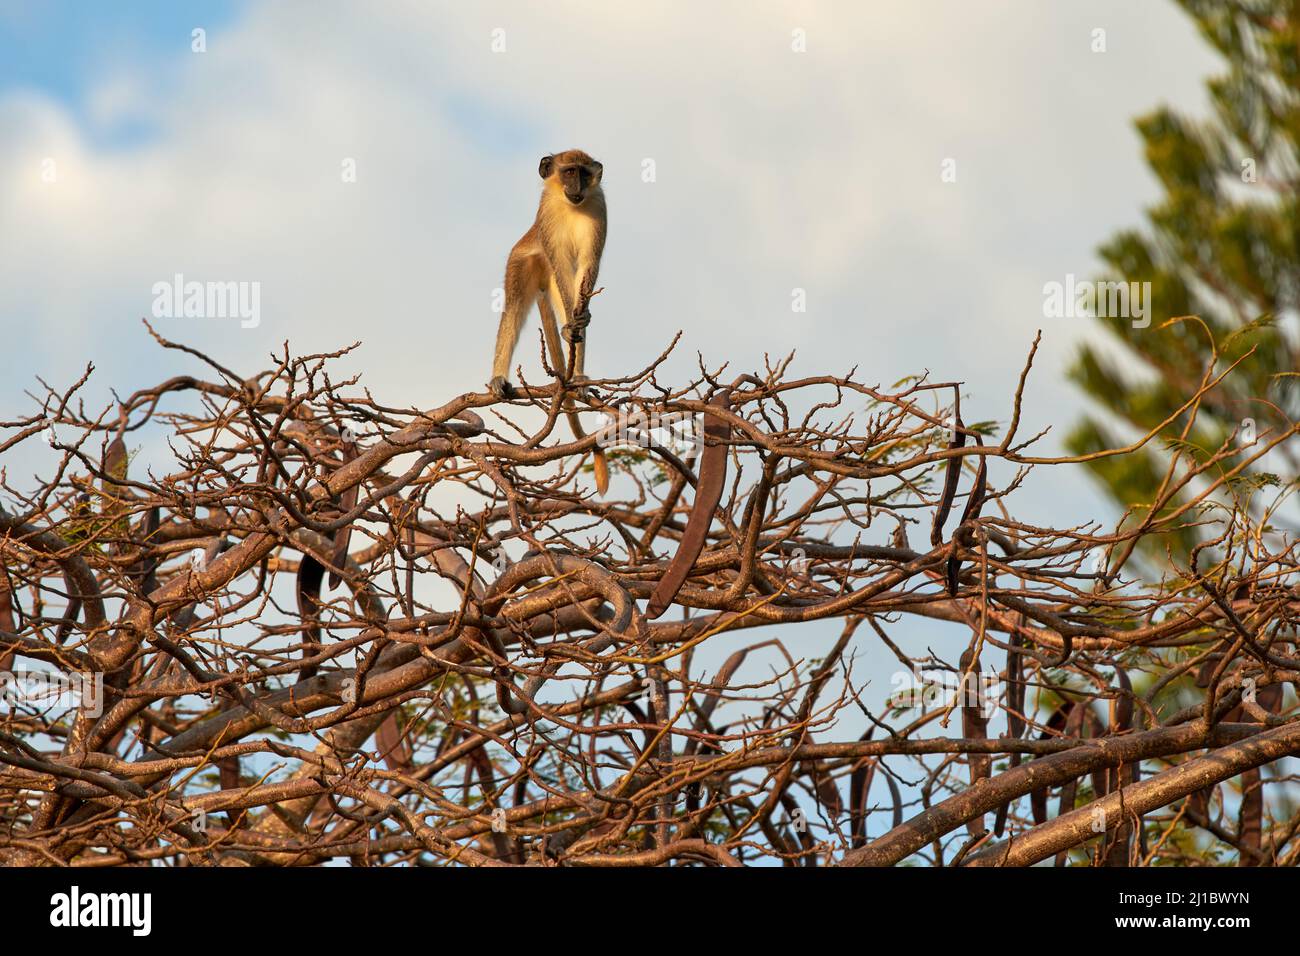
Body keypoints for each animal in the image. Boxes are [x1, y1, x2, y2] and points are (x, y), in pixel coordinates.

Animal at [489, 149, 609, 494]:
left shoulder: (599, 206)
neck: (572, 207)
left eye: (584, 173)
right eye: (568, 172)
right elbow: (563, 266)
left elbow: (587, 266)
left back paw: (577, 374)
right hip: (524, 263)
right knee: (514, 308)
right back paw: (498, 376)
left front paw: (579, 321)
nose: (576, 186)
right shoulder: (546, 215)